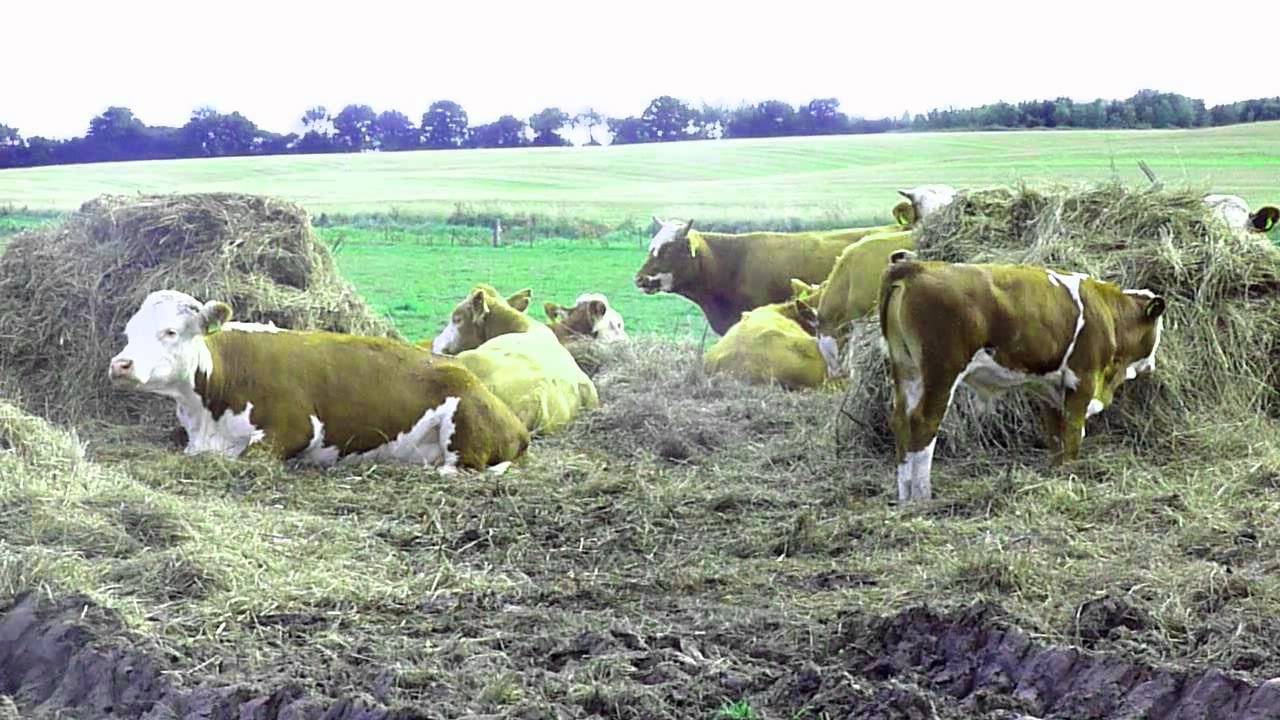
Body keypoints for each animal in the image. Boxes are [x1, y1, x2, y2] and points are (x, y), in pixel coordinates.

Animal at [878, 256, 1165, 502]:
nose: (1152, 365)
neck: (1106, 312)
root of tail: (916, 267)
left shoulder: (1050, 387)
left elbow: (1056, 436)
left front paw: (1058, 474)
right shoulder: (1082, 380)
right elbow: (1073, 433)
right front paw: (1072, 475)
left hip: (907, 371)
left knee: (901, 421)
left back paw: (905, 496)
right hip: (941, 373)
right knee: (924, 423)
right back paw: (922, 496)